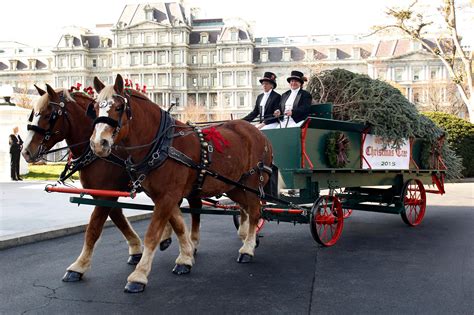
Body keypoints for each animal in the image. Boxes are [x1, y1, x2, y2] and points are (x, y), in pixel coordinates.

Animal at [19, 85, 180, 282]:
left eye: (49, 115)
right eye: (32, 114)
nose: (26, 151)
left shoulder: (107, 194)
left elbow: (94, 228)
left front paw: (79, 266)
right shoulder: (103, 194)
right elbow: (118, 219)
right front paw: (135, 249)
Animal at [90, 74, 274, 294]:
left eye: (118, 107)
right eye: (95, 107)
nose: (98, 144)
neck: (161, 144)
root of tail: (258, 132)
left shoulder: (168, 196)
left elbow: (152, 233)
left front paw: (139, 275)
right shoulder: (163, 196)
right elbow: (178, 225)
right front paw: (185, 257)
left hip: (253, 183)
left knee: (254, 211)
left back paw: (247, 249)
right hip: (235, 186)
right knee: (247, 208)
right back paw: (248, 238)